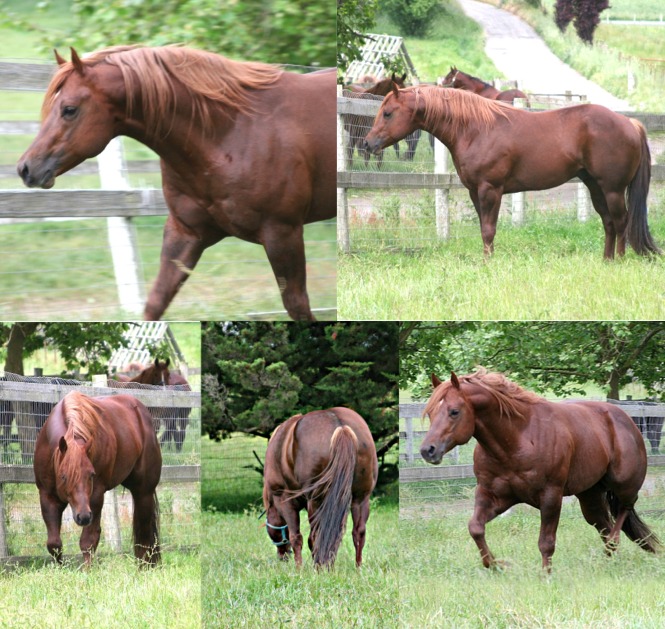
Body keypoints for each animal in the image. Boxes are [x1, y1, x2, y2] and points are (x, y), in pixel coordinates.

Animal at [17, 45, 335, 321]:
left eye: (69, 109)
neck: (231, 131)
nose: (26, 168)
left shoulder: (282, 233)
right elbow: (156, 303)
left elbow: (297, 305)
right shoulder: (186, 233)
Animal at [33, 390, 161, 566]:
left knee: (144, 533)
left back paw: (145, 566)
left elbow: (88, 540)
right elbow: (54, 544)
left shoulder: (95, 496)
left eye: (91, 475)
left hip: (143, 492)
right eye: (63, 476)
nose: (83, 516)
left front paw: (87, 570)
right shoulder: (47, 495)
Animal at [262, 408, 378, 569]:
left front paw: (299, 569)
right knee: (357, 532)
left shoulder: (284, 501)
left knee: (316, 536)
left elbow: (295, 537)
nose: (282, 556)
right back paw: (357, 568)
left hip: (316, 501)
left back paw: (319, 568)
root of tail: (341, 427)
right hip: (361, 499)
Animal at [365, 85, 661, 258]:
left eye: (388, 113)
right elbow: (484, 229)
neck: (476, 129)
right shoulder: (475, 192)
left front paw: (489, 265)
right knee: (609, 222)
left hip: (612, 189)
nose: (368, 144)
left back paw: (619, 260)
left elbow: (488, 230)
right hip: (595, 187)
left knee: (621, 222)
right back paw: (606, 261)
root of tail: (629, 122)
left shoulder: (490, 190)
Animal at [420, 369, 660, 571]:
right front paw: (497, 565)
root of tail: (627, 420)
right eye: (430, 413)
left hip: (624, 485)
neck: (517, 440)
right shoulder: (493, 494)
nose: (427, 450)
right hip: (590, 496)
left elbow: (546, 542)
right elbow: (476, 528)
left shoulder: (551, 496)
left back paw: (612, 548)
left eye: (454, 411)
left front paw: (545, 575)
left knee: (623, 513)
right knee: (604, 525)